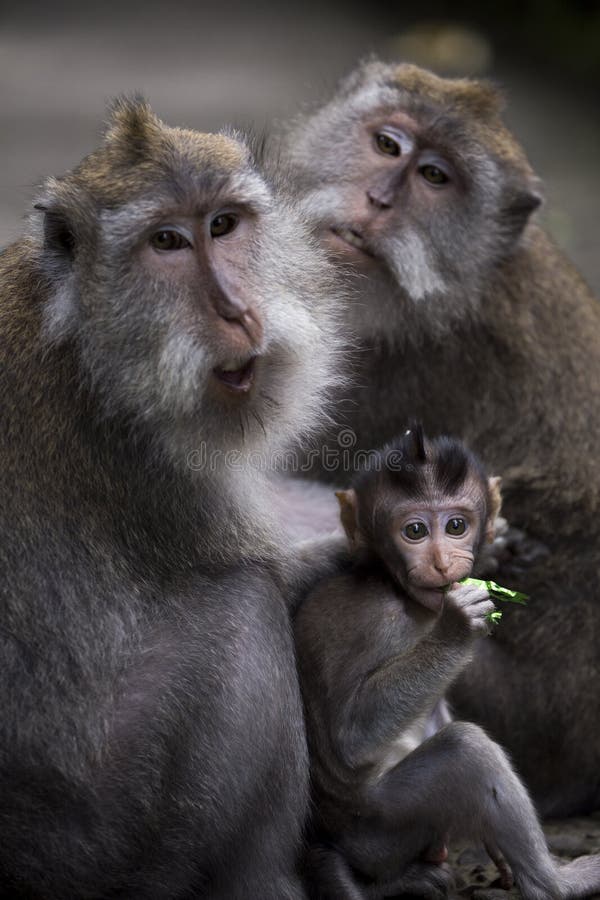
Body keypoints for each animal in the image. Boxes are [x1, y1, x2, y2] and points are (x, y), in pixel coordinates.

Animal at [0, 97, 348, 899]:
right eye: (167, 243)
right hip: (112, 841)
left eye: (223, 225)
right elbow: (275, 574)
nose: (237, 310)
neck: (87, 342)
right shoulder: (148, 464)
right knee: (246, 603)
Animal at [294, 429, 600, 900]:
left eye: (456, 526)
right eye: (415, 531)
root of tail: (336, 840)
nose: (440, 562)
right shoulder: (375, 620)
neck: (399, 592)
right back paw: (556, 883)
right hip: (380, 830)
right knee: (466, 752)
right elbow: (350, 738)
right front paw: (458, 624)